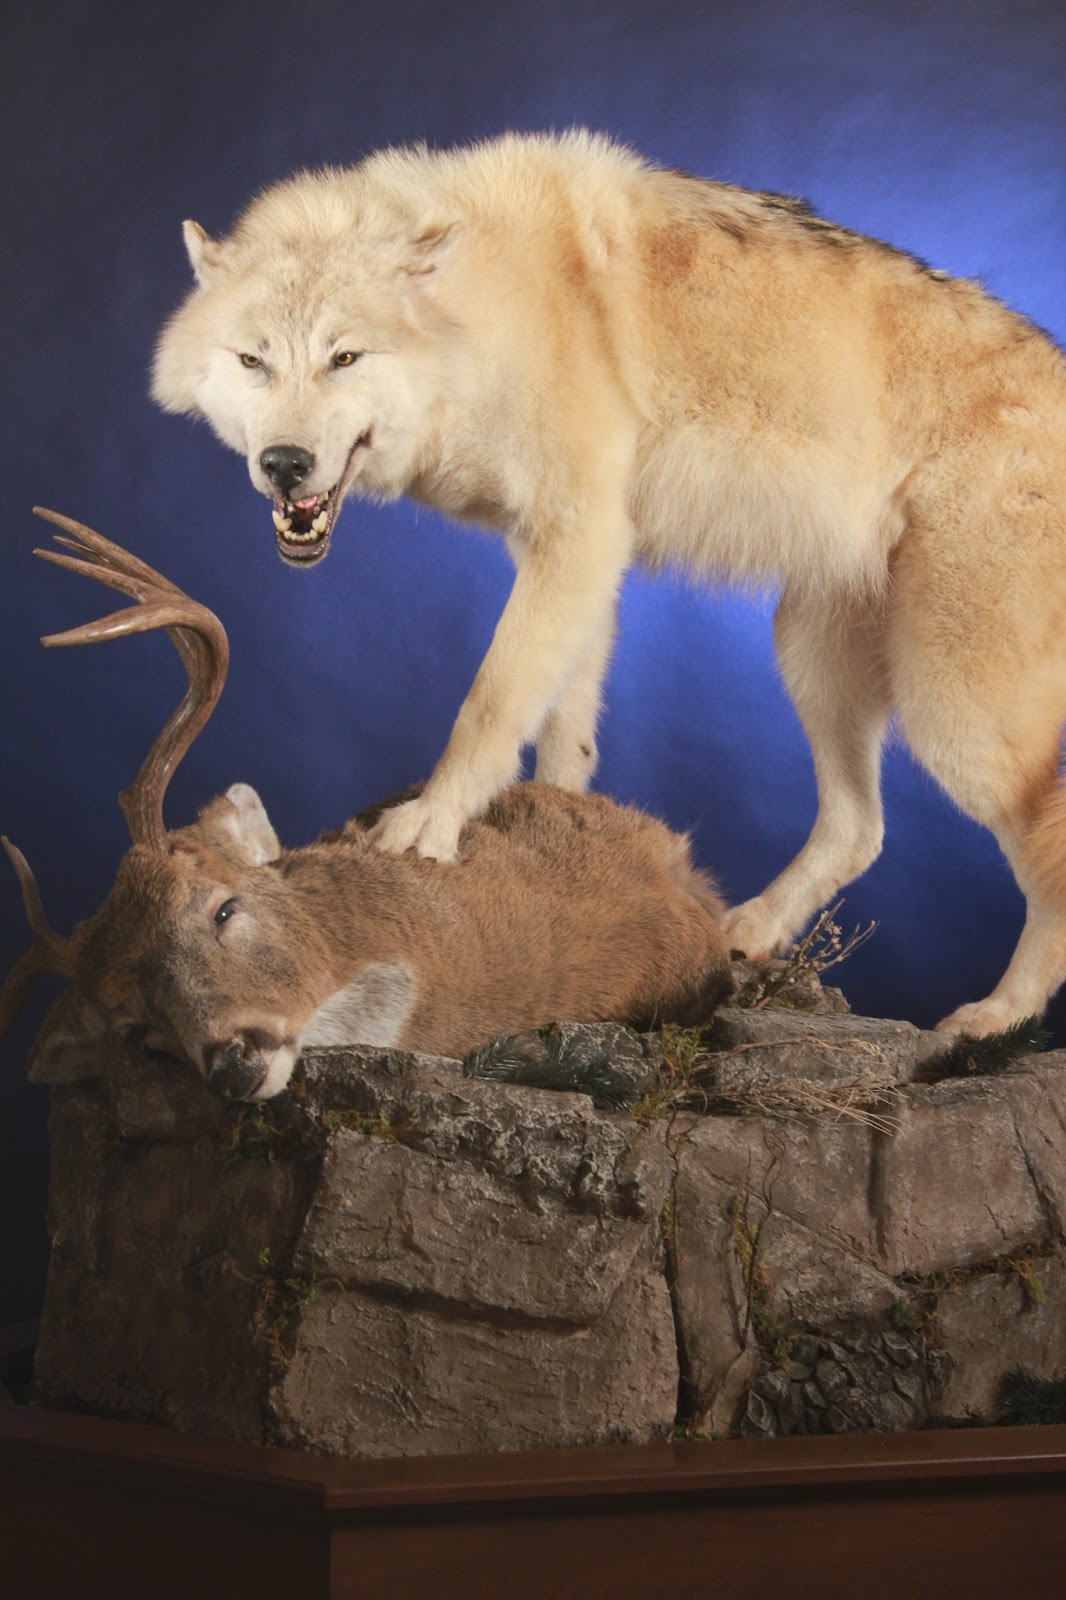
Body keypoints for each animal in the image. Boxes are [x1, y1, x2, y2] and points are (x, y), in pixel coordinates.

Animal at [152, 130, 1066, 1036]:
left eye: (344, 357)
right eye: (253, 361)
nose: (283, 464)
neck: (488, 313)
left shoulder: (576, 541)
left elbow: (490, 704)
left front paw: (428, 828)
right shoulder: (567, 558)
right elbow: (564, 737)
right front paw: (566, 865)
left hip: (950, 712)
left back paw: (993, 1018)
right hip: (814, 657)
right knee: (861, 830)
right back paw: (747, 933)